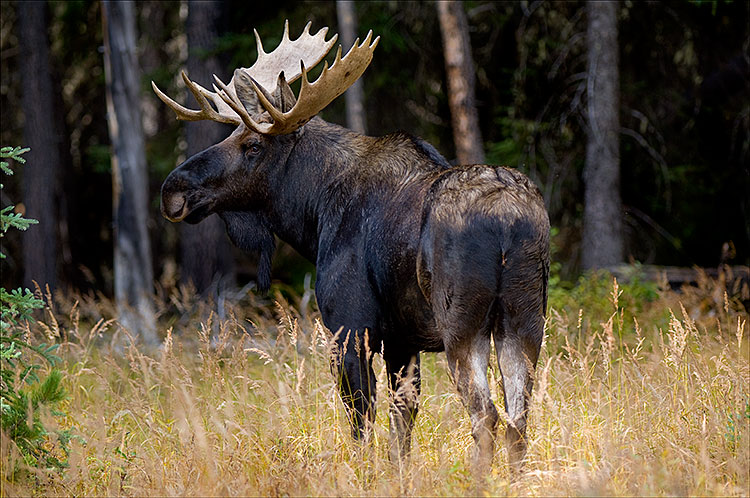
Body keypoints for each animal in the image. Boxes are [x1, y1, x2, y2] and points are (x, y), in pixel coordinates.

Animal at [153, 21, 550, 474]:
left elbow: (360, 416)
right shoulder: (401, 341)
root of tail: (507, 223)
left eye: (252, 145)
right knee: (519, 419)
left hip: (464, 326)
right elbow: (402, 420)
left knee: (486, 415)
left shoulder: (349, 328)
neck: (313, 215)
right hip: (523, 319)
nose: (173, 190)